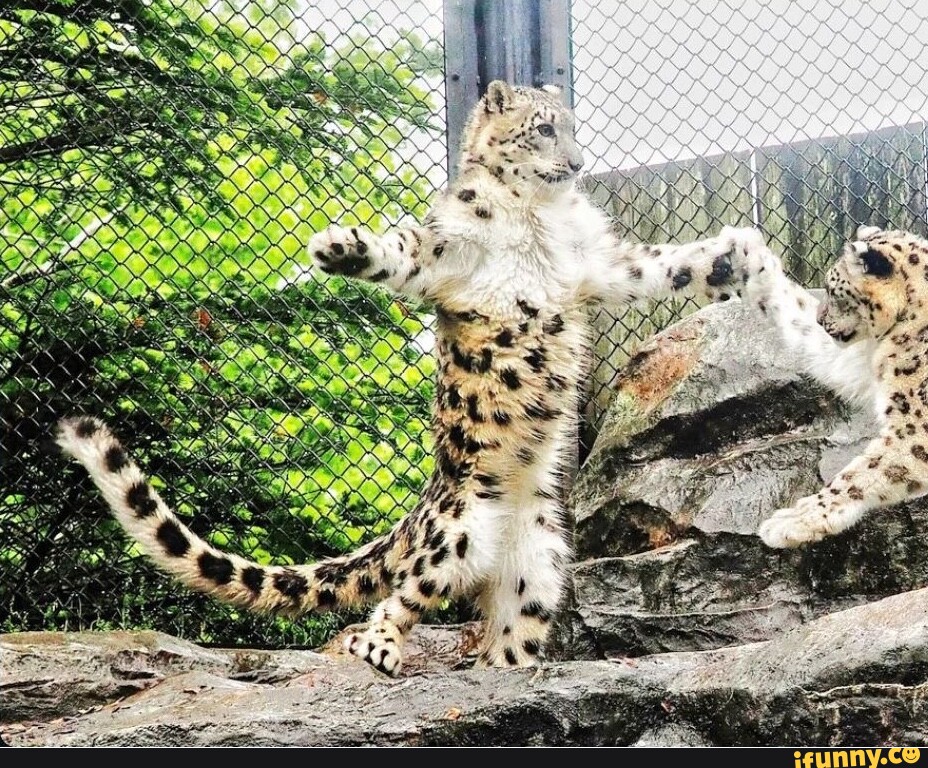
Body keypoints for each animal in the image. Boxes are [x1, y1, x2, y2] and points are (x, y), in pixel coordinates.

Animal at [57, 79, 761, 676]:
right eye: (543, 129)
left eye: (569, 128)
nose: (578, 162)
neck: (536, 215)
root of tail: (431, 506)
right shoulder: (444, 255)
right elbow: (399, 250)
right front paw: (339, 247)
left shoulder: (598, 263)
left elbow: (660, 264)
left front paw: (733, 258)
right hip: (454, 535)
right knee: (401, 596)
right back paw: (377, 646)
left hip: (540, 567)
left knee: (508, 624)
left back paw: (511, 668)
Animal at [728, 224, 928, 548]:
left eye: (833, 290)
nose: (821, 320)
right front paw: (749, 253)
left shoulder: (915, 431)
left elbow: (860, 473)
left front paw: (793, 521)